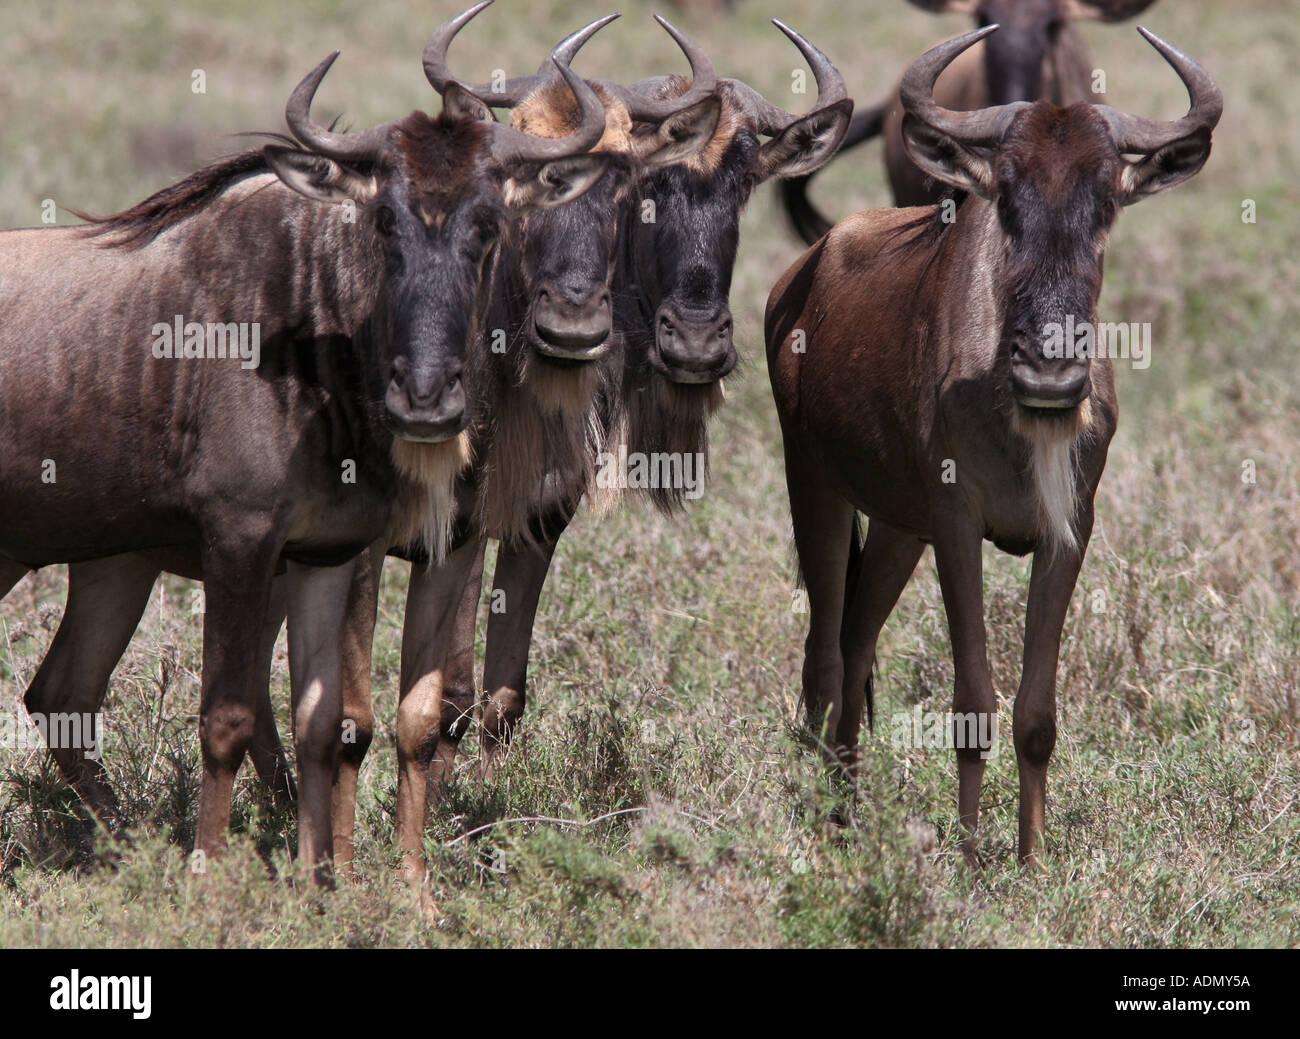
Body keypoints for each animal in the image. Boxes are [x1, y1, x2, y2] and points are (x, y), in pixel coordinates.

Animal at [0, 10, 610, 876]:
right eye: (383, 223)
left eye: (489, 226)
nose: (426, 399)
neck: (316, 330)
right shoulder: (240, 539)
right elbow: (227, 716)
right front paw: (209, 876)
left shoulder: (330, 550)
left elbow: (332, 719)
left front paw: (332, 884)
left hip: (103, 559)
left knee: (63, 694)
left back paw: (125, 850)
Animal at [765, 25, 1220, 864]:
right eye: (1006, 195)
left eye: (1107, 200)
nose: (1051, 375)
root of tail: (801, 276)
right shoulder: (957, 525)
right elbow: (973, 696)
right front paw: (974, 859)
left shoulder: (1066, 530)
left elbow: (1036, 711)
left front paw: (1031, 857)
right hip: (814, 484)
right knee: (822, 654)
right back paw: (819, 817)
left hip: (895, 526)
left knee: (856, 641)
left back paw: (847, 809)